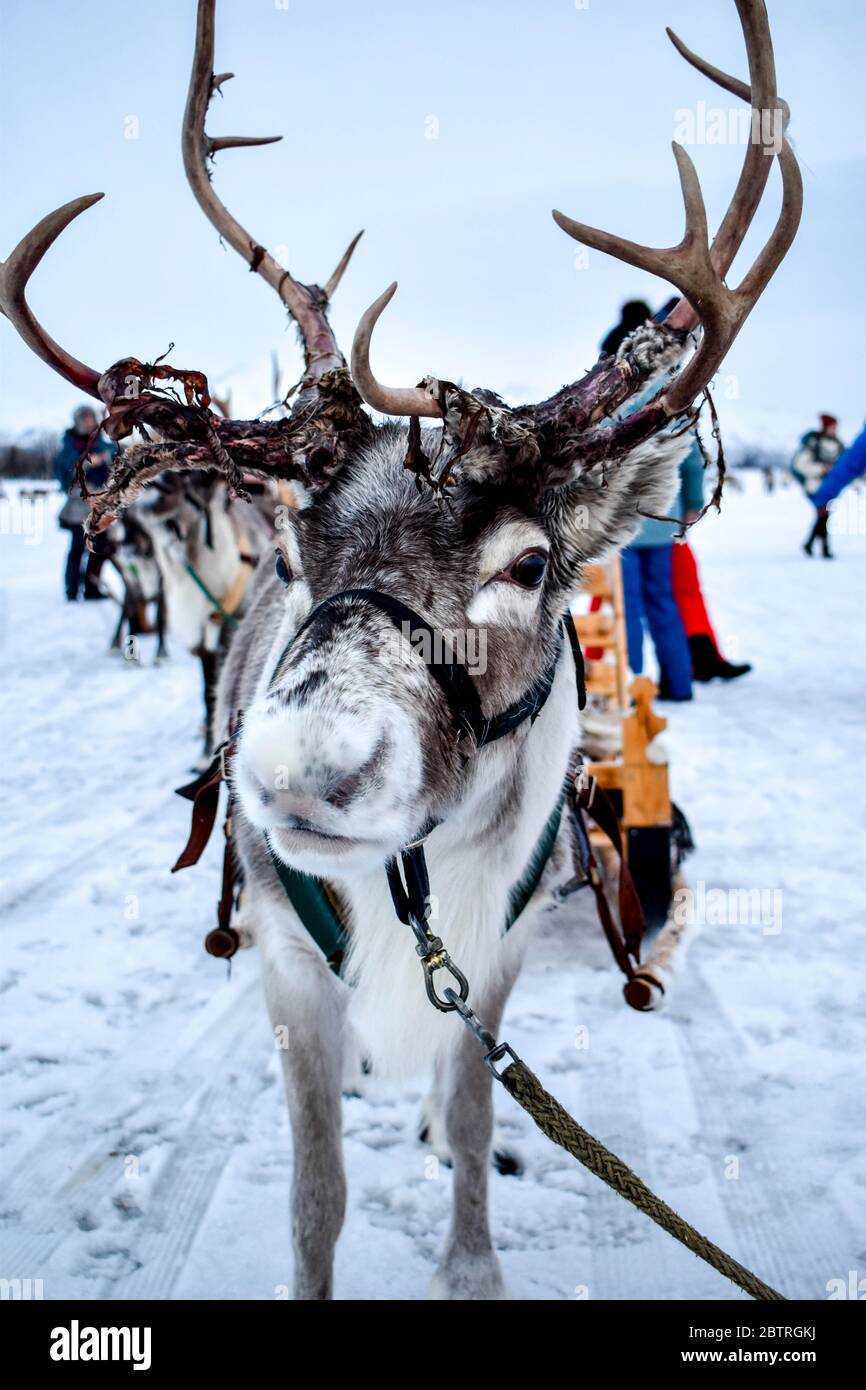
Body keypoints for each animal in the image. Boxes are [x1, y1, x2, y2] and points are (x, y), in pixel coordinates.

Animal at [0, 0, 800, 1300]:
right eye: (296, 549)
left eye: (527, 564)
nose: (297, 773)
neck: (410, 888)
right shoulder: (286, 968)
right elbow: (313, 1192)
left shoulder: (502, 945)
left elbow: (475, 1115)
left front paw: (467, 1251)